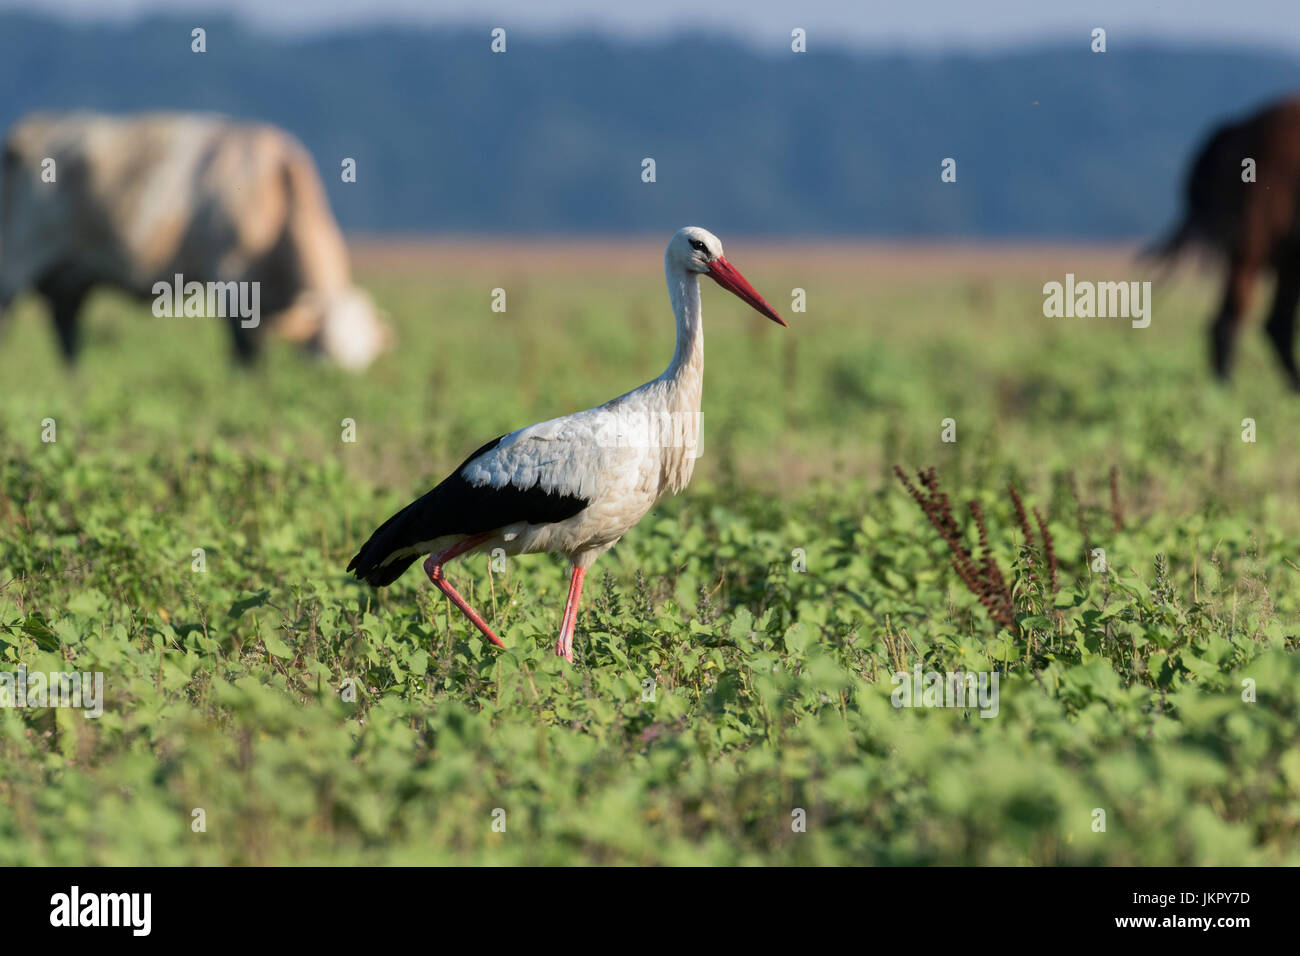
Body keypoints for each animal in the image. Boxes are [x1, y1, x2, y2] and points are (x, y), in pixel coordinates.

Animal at [0, 112, 391, 369]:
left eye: (364, 362)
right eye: (323, 352)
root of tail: (31, 130)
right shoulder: (232, 278)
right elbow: (245, 350)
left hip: (69, 277)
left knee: (67, 331)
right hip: (15, 261)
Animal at [1150, 96, 1300, 388]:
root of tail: (1238, 126)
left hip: (1284, 257)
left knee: (1275, 324)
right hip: (1254, 245)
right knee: (1232, 319)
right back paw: (1224, 389)